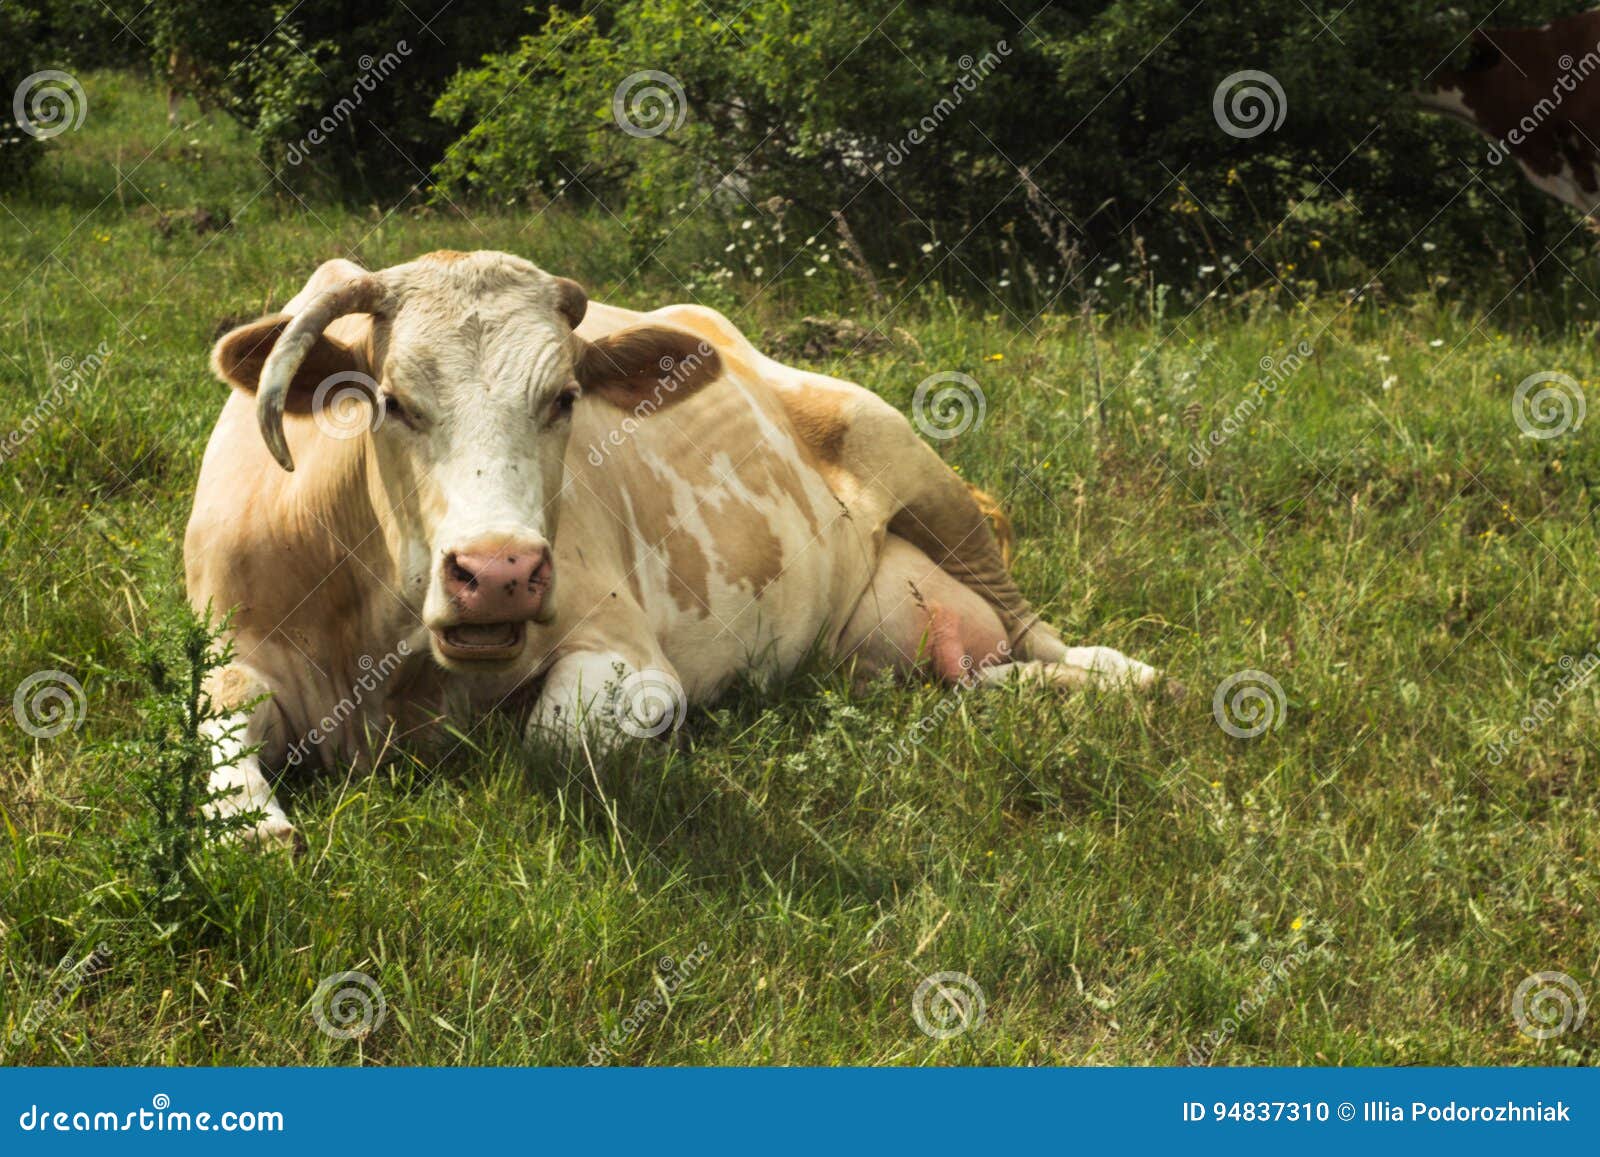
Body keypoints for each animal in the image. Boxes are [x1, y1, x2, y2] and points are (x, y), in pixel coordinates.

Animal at [189, 250, 1163, 850]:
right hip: (867, 647)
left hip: (915, 465)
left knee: (1036, 626)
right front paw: (251, 821)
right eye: (391, 399)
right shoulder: (231, 644)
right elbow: (214, 722)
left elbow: (550, 740)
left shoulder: (626, 647)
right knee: (959, 672)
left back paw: (1125, 676)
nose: (499, 573)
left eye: (565, 397)